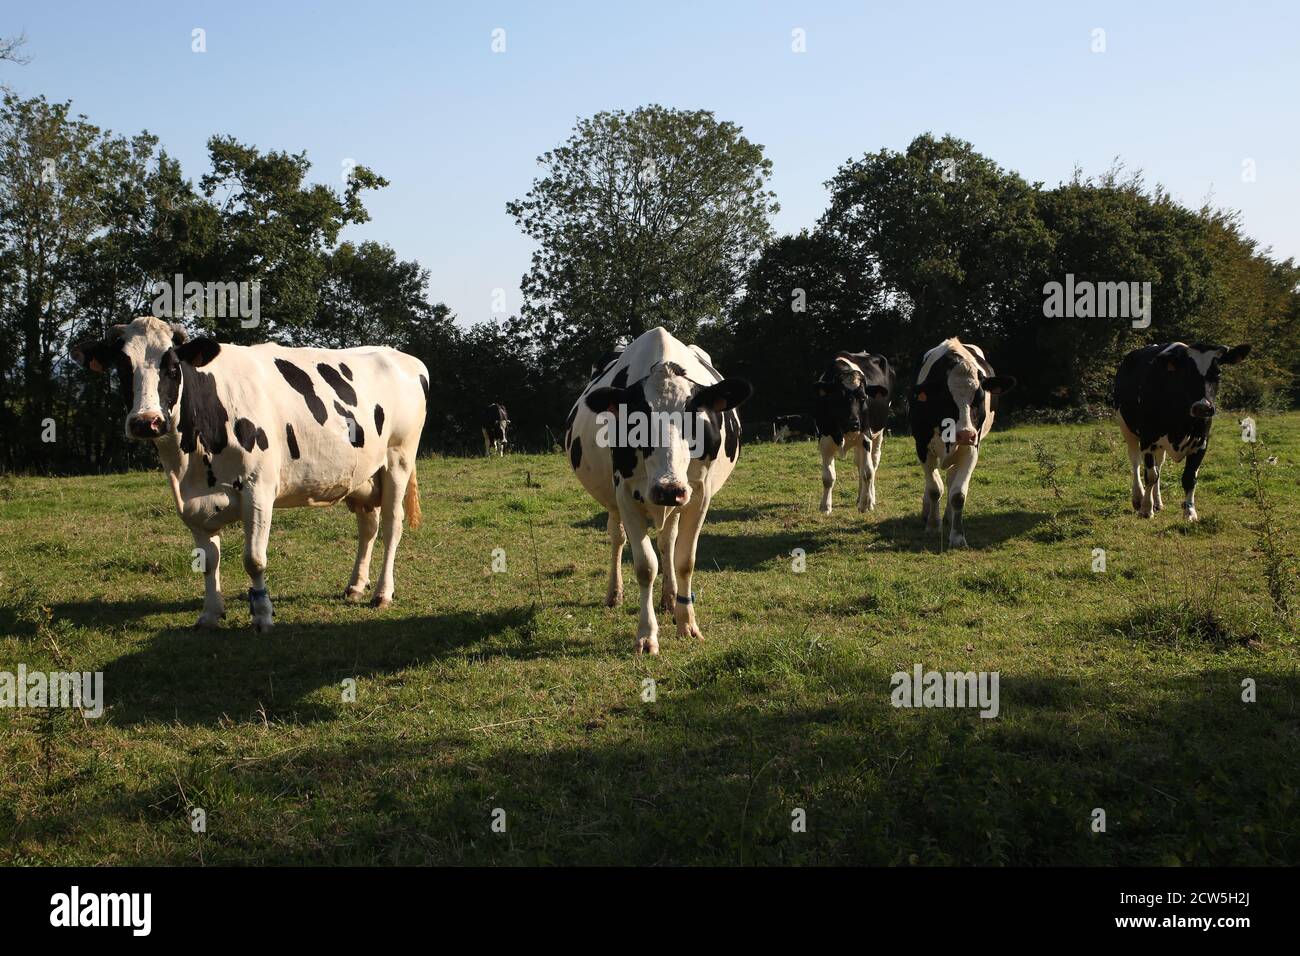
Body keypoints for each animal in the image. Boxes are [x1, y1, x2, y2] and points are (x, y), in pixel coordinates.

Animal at [71, 316, 428, 631]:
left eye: (173, 367)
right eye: (122, 368)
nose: (147, 422)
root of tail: (404, 357)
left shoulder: (259, 490)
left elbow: (254, 559)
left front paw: (262, 614)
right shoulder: (190, 501)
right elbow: (209, 561)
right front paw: (210, 615)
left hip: (398, 458)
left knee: (391, 526)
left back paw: (382, 593)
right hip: (363, 476)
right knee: (368, 527)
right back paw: (355, 586)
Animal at [564, 327, 752, 655]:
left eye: (695, 418)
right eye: (636, 420)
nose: (668, 489)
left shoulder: (698, 494)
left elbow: (684, 560)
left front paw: (687, 623)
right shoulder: (625, 493)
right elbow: (645, 566)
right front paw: (646, 635)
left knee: (667, 541)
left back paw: (669, 597)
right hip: (615, 502)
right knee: (618, 538)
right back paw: (614, 593)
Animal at [814, 352, 895, 514]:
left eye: (863, 397)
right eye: (839, 397)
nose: (854, 423)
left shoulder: (866, 437)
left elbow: (868, 472)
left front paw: (866, 504)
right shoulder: (824, 440)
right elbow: (828, 477)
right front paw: (825, 506)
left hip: (879, 432)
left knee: (873, 463)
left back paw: (870, 498)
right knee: (859, 464)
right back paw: (859, 497)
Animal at [909, 338, 1016, 547]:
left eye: (980, 398)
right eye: (946, 397)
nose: (965, 434)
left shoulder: (971, 449)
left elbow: (957, 494)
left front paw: (957, 537)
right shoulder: (922, 446)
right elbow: (934, 489)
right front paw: (933, 526)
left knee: (951, 481)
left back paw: (949, 516)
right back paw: (928, 513)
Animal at [1112, 341, 1250, 521]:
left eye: (1218, 372)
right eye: (1185, 373)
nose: (1202, 407)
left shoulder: (1201, 443)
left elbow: (1189, 478)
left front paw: (1190, 512)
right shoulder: (1147, 439)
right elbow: (1150, 475)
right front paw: (1146, 508)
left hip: (1159, 445)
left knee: (1159, 465)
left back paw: (1158, 502)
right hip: (1127, 428)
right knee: (1135, 462)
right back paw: (1138, 498)